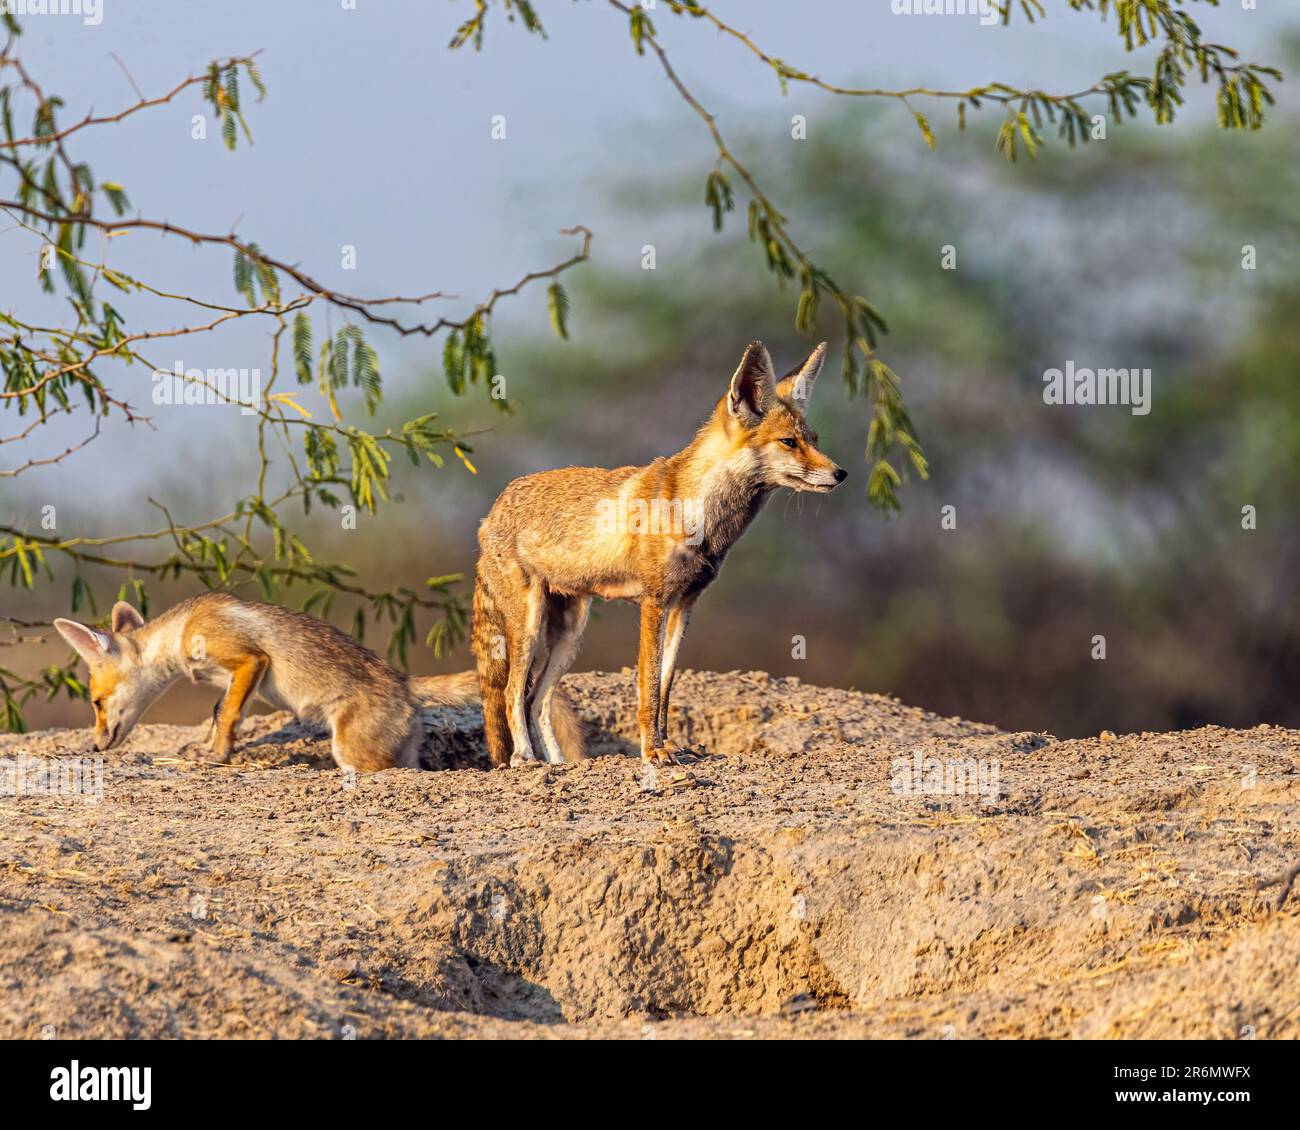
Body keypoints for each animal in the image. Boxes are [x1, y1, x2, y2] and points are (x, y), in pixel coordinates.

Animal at [52, 593, 584, 770]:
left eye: (95, 702)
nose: (95, 747)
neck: (181, 628)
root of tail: (404, 681)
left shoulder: (249, 659)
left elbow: (228, 714)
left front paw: (217, 756)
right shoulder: (233, 675)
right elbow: (218, 711)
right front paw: (208, 746)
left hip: (350, 751)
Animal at [472, 339, 846, 768]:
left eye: (814, 439)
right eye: (789, 442)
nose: (841, 474)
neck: (703, 521)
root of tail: (491, 511)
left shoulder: (684, 604)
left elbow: (666, 687)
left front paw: (668, 744)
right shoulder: (652, 602)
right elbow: (648, 686)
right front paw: (652, 751)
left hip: (570, 635)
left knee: (538, 701)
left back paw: (561, 763)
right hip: (529, 628)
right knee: (512, 693)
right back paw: (524, 757)